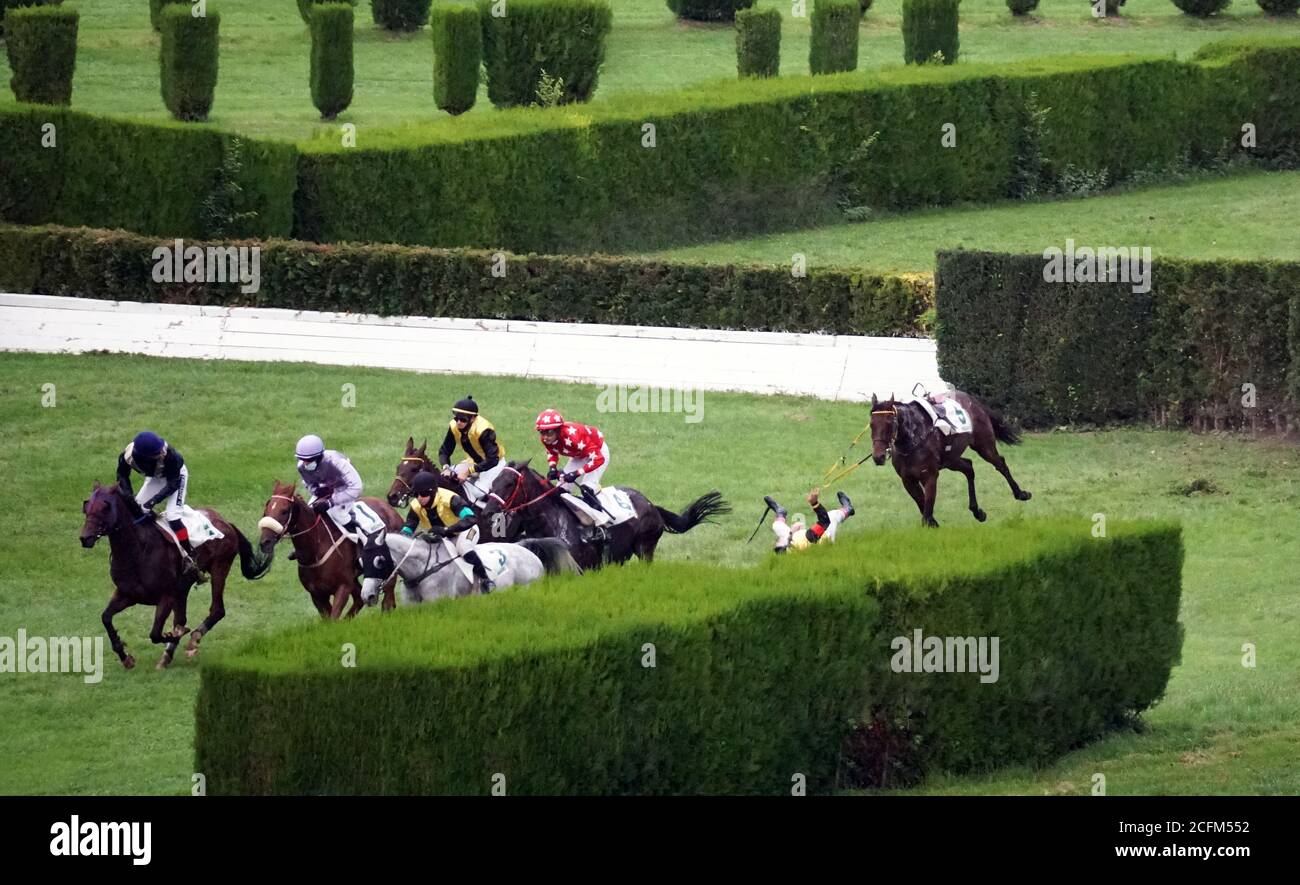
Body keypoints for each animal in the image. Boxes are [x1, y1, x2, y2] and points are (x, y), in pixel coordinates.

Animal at [79, 483, 271, 670]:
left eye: (105, 507)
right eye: (86, 507)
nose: (85, 538)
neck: (137, 551)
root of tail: (226, 522)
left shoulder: (166, 596)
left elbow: (156, 633)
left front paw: (178, 635)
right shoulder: (127, 594)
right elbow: (106, 618)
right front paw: (126, 657)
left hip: (219, 568)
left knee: (217, 610)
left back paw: (193, 640)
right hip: (183, 588)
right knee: (183, 617)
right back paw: (169, 654)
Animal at [260, 480, 405, 618]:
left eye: (284, 511)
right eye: (266, 509)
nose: (265, 541)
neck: (315, 550)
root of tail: (390, 510)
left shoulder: (343, 587)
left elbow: (334, 618)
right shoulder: (317, 594)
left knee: (387, 596)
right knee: (359, 597)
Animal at [475, 460, 733, 569]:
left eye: (509, 483)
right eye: (494, 480)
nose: (488, 511)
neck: (551, 522)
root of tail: (651, 504)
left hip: (645, 548)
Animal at [868, 392, 1029, 527]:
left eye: (889, 423)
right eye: (871, 424)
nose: (878, 457)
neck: (913, 439)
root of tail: (973, 401)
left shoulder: (930, 476)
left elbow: (927, 510)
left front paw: (931, 524)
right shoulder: (908, 479)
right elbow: (923, 506)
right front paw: (933, 523)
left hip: (984, 445)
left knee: (1000, 463)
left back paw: (1021, 493)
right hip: (951, 459)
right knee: (969, 467)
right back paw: (977, 512)